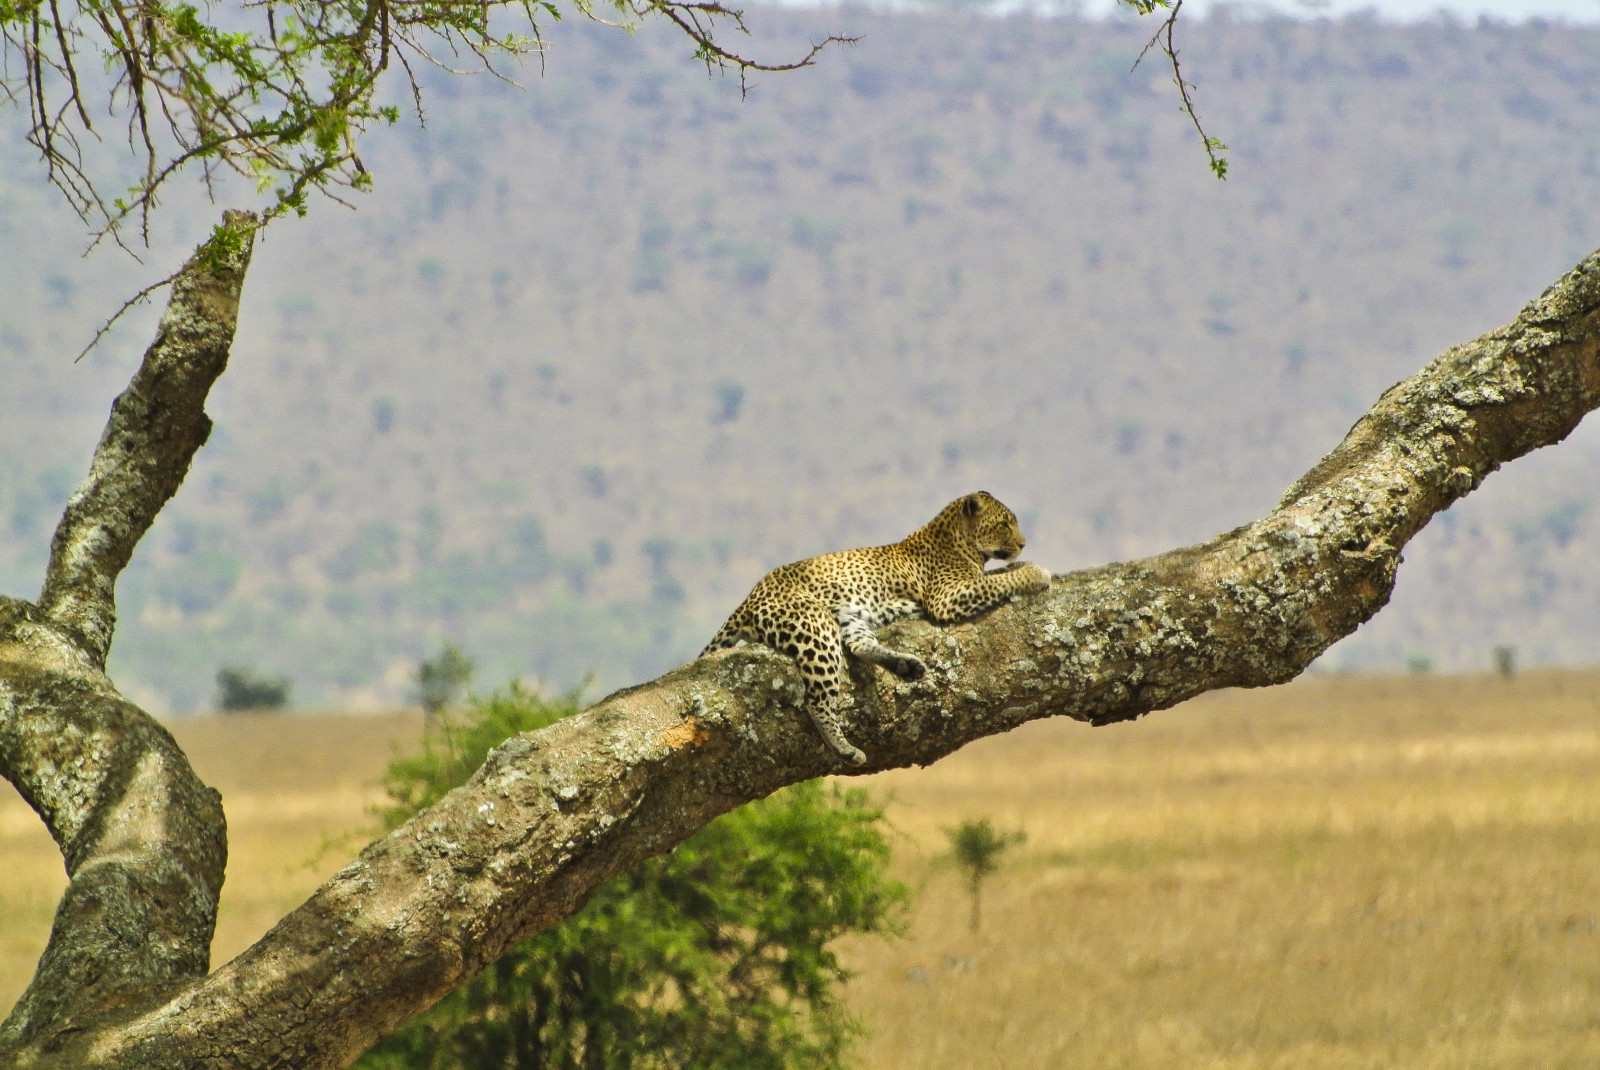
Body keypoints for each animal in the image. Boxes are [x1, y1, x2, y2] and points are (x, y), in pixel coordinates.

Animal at [700, 491, 1052, 766]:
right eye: (1004, 523)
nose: (1023, 544)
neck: (960, 541)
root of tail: (750, 597)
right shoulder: (947, 598)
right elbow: (996, 581)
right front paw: (1035, 573)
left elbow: (996, 576)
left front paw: (1026, 564)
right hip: (815, 626)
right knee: (816, 700)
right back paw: (845, 749)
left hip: (847, 617)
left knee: (858, 646)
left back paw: (906, 666)